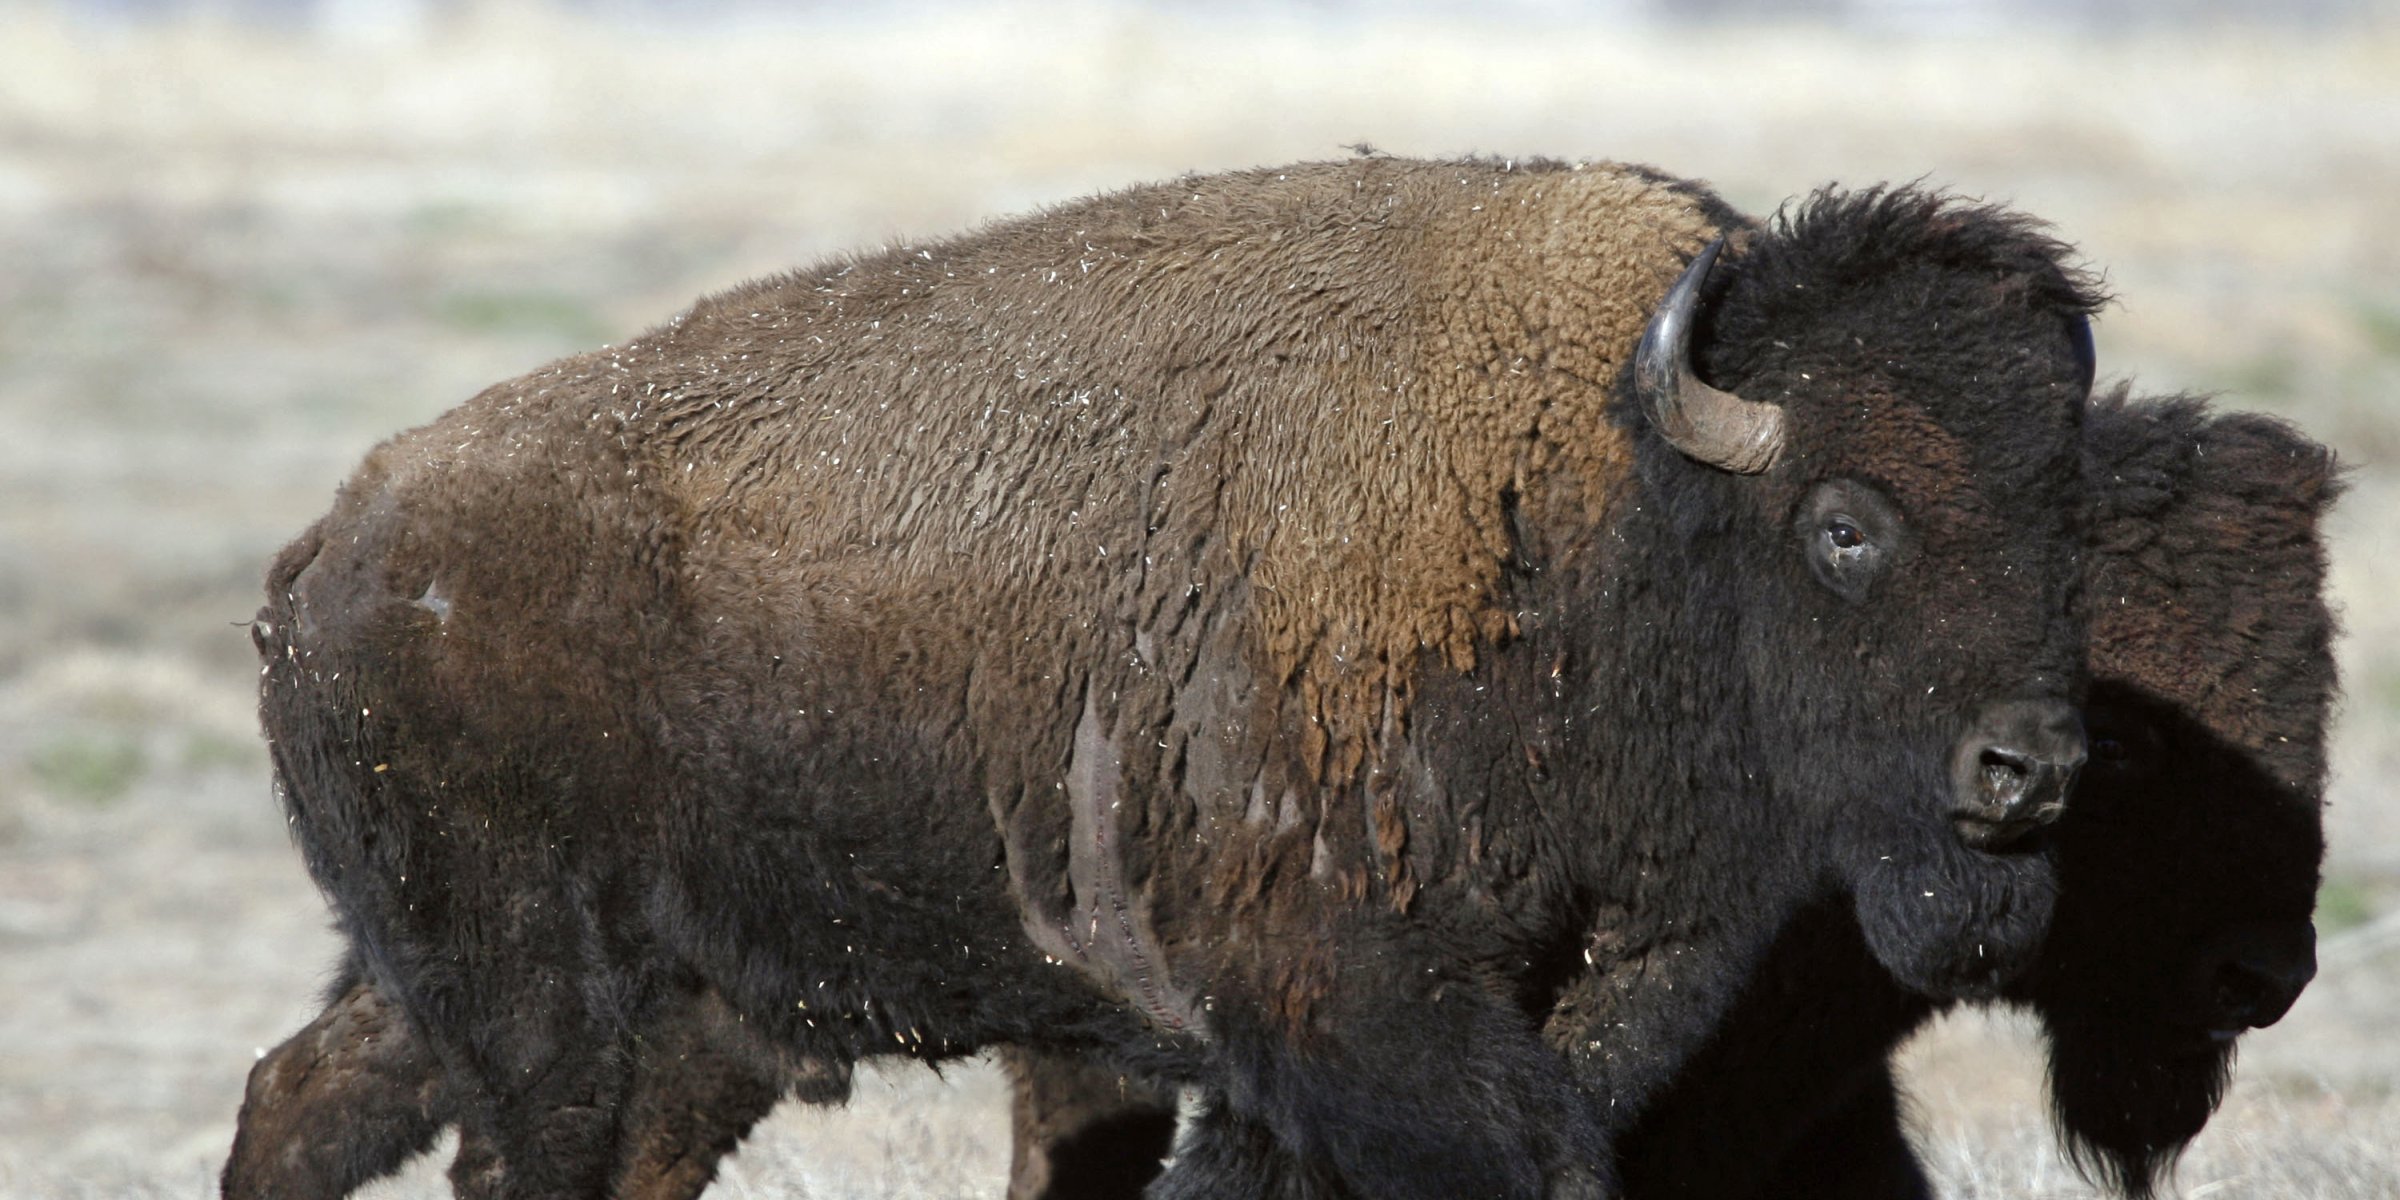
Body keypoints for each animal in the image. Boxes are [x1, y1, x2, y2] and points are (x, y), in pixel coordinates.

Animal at [230, 157, 2099, 1198]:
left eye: (2063, 515)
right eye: (1845, 524)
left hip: (566, 996)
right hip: (537, 992)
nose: (2030, 771)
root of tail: (331, 546)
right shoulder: (1351, 1012)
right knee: (496, 1148)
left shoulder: (1561, 1001)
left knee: (305, 1100)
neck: (1613, 506)